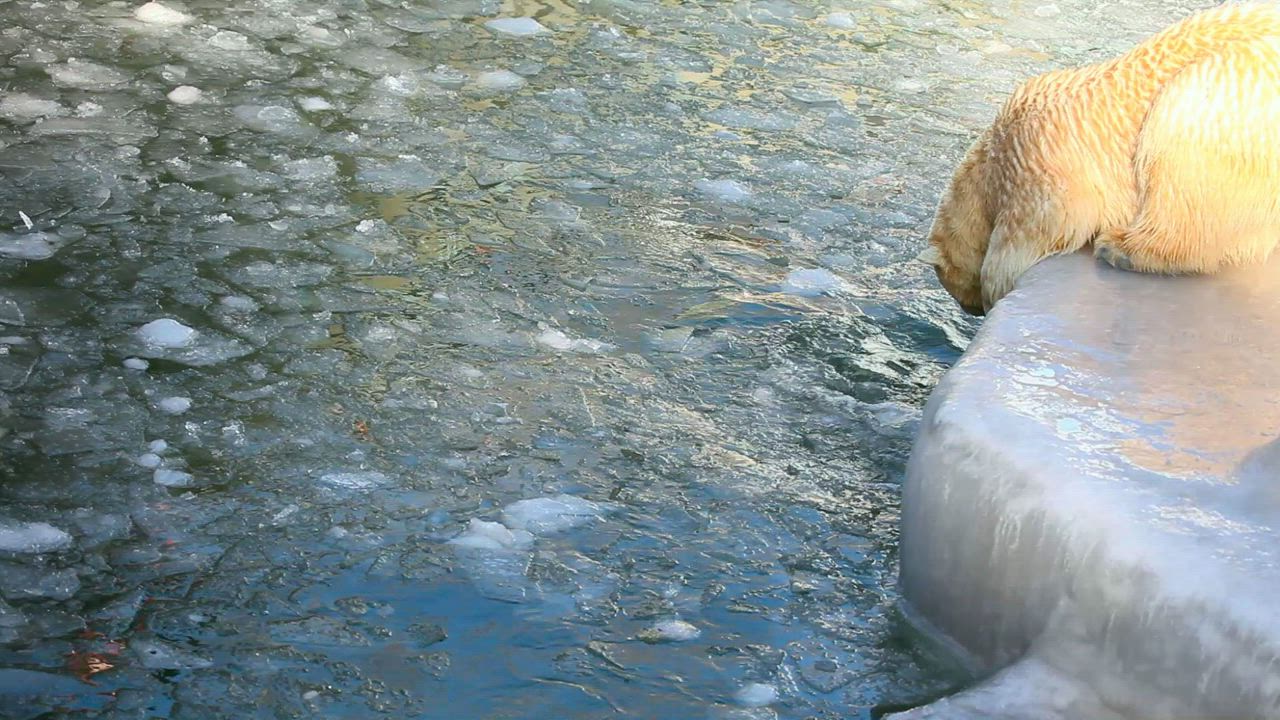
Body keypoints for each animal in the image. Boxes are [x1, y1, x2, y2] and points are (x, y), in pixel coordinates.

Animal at [919, 3, 1280, 316]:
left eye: (951, 285)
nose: (972, 310)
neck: (989, 164)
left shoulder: (1037, 171)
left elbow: (1018, 254)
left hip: (1232, 92)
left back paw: (1122, 248)